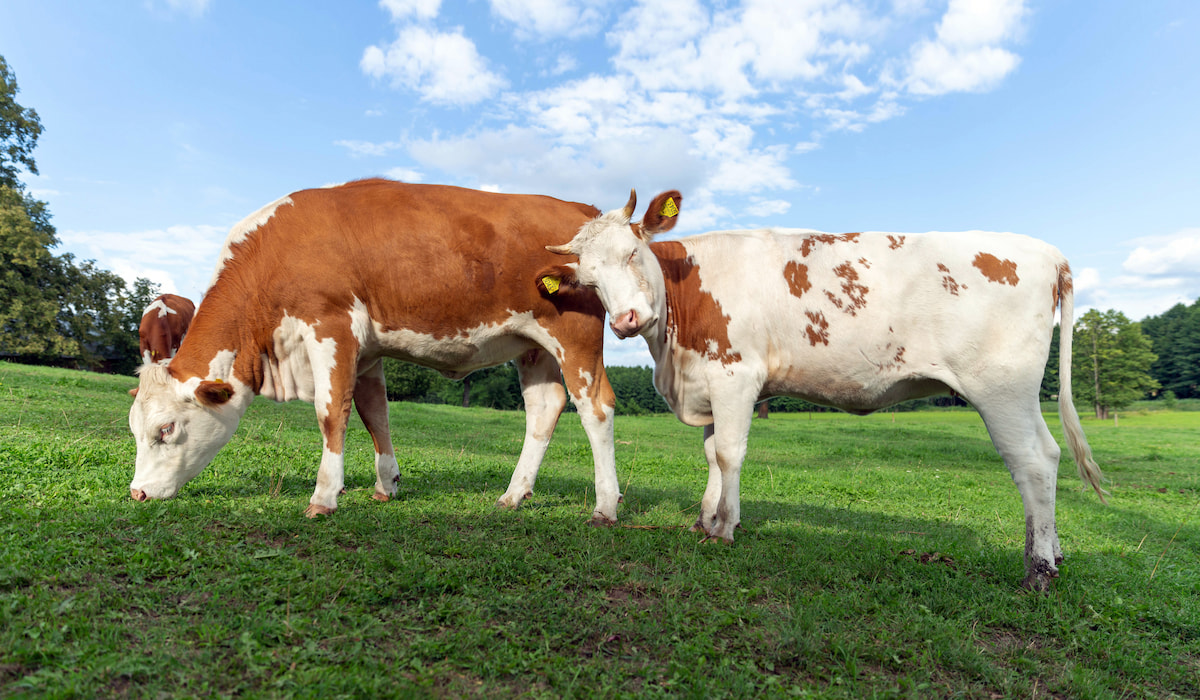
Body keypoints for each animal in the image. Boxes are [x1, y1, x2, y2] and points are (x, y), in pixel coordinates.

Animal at [128, 179, 619, 524]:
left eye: (166, 429)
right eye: (135, 429)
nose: (137, 493)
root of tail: (580, 209)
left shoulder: (331, 326)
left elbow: (331, 412)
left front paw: (324, 497)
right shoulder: (365, 350)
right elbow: (373, 412)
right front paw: (387, 486)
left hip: (574, 336)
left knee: (596, 407)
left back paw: (606, 506)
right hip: (533, 346)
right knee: (545, 407)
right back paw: (513, 495)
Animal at [546, 189, 1105, 591]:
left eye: (633, 252)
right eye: (590, 280)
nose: (625, 319)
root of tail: (1045, 251)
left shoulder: (735, 375)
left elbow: (728, 453)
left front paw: (724, 528)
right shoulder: (708, 380)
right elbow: (710, 453)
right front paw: (705, 519)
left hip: (1001, 388)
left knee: (1032, 461)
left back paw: (1038, 570)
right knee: (1049, 454)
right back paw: (1053, 554)